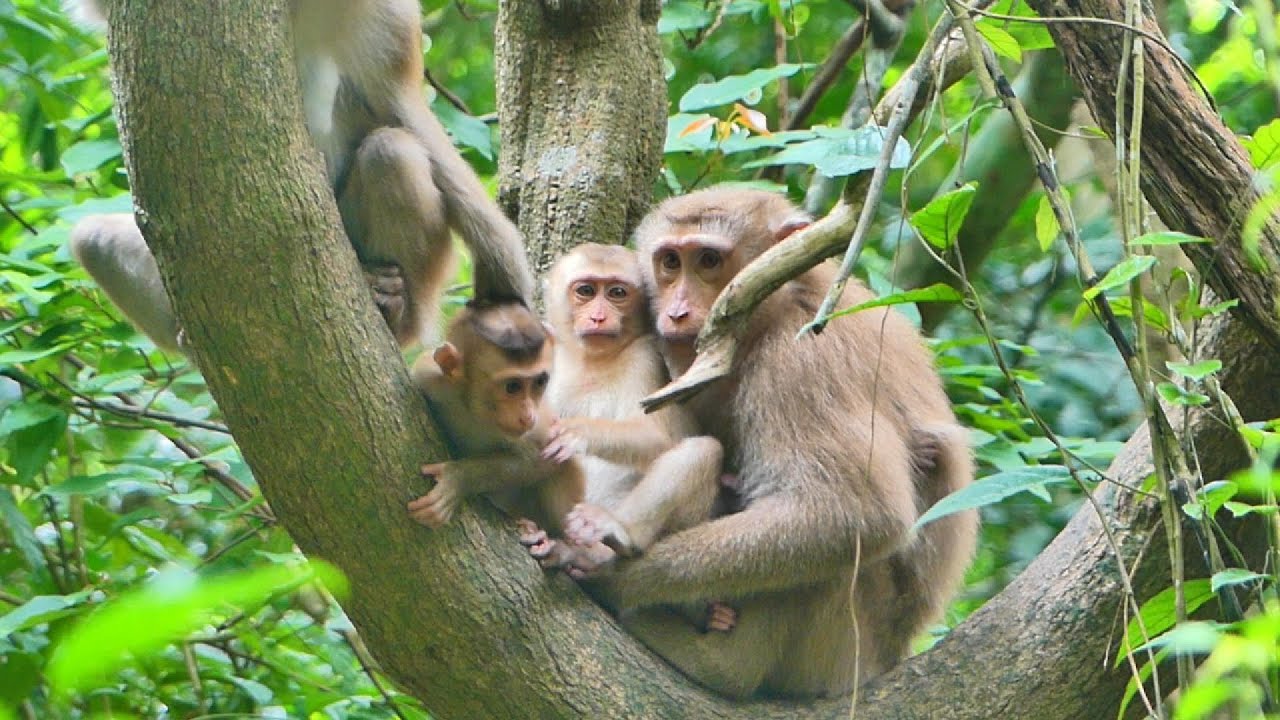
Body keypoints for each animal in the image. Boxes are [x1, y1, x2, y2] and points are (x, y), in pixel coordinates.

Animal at [65, 0, 534, 351]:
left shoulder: (384, 17)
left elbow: (399, 107)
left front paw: (504, 268)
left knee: (391, 152)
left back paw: (394, 309)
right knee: (94, 241)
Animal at [406, 302, 583, 540]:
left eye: (540, 382)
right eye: (512, 386)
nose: (528, 415)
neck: (476, 412)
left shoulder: (539, 427)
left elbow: (545, 459)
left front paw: (458, 478)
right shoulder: (428, 376)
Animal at [568, 186, 978, 699]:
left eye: (708, 260)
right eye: (669, 262)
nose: (677, 312)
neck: (782, 306)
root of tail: (891, 656)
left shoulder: (802, 363)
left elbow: (855, 514)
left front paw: (616, 574)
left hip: (841, 649)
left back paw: (724, 665)